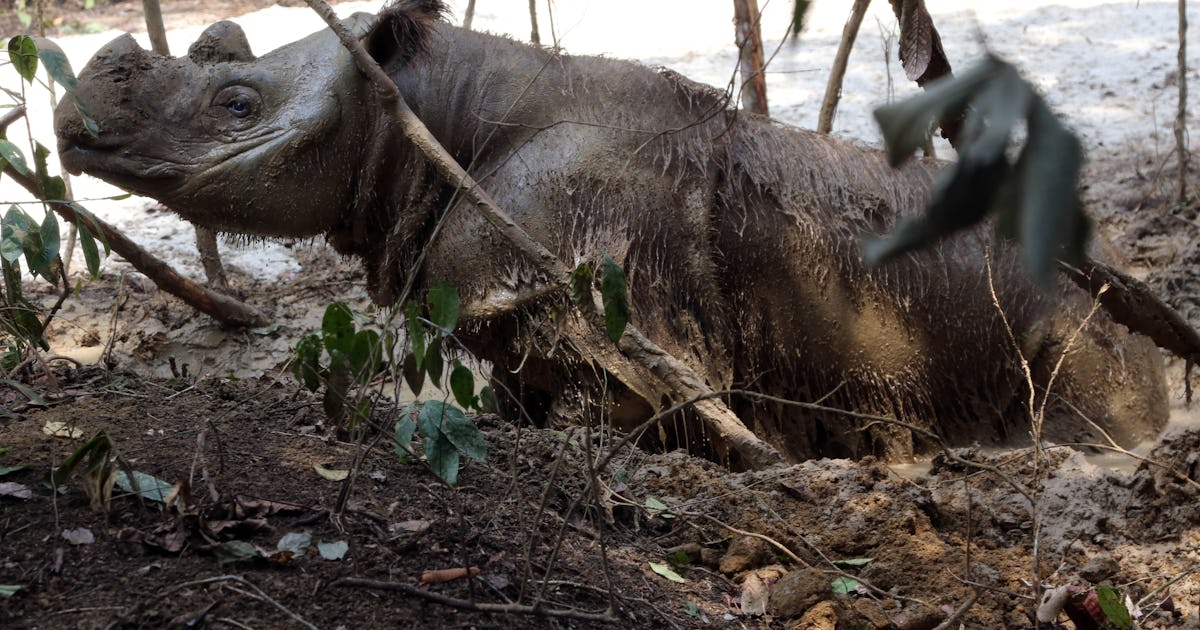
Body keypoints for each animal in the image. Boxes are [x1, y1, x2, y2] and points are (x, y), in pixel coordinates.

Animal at [54, 0, 1168, 465]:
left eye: (237, 103)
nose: (70, 125)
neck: (429, 108)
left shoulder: (595, 287)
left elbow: (636, 414)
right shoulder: (513, 291)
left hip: (1078, 314)